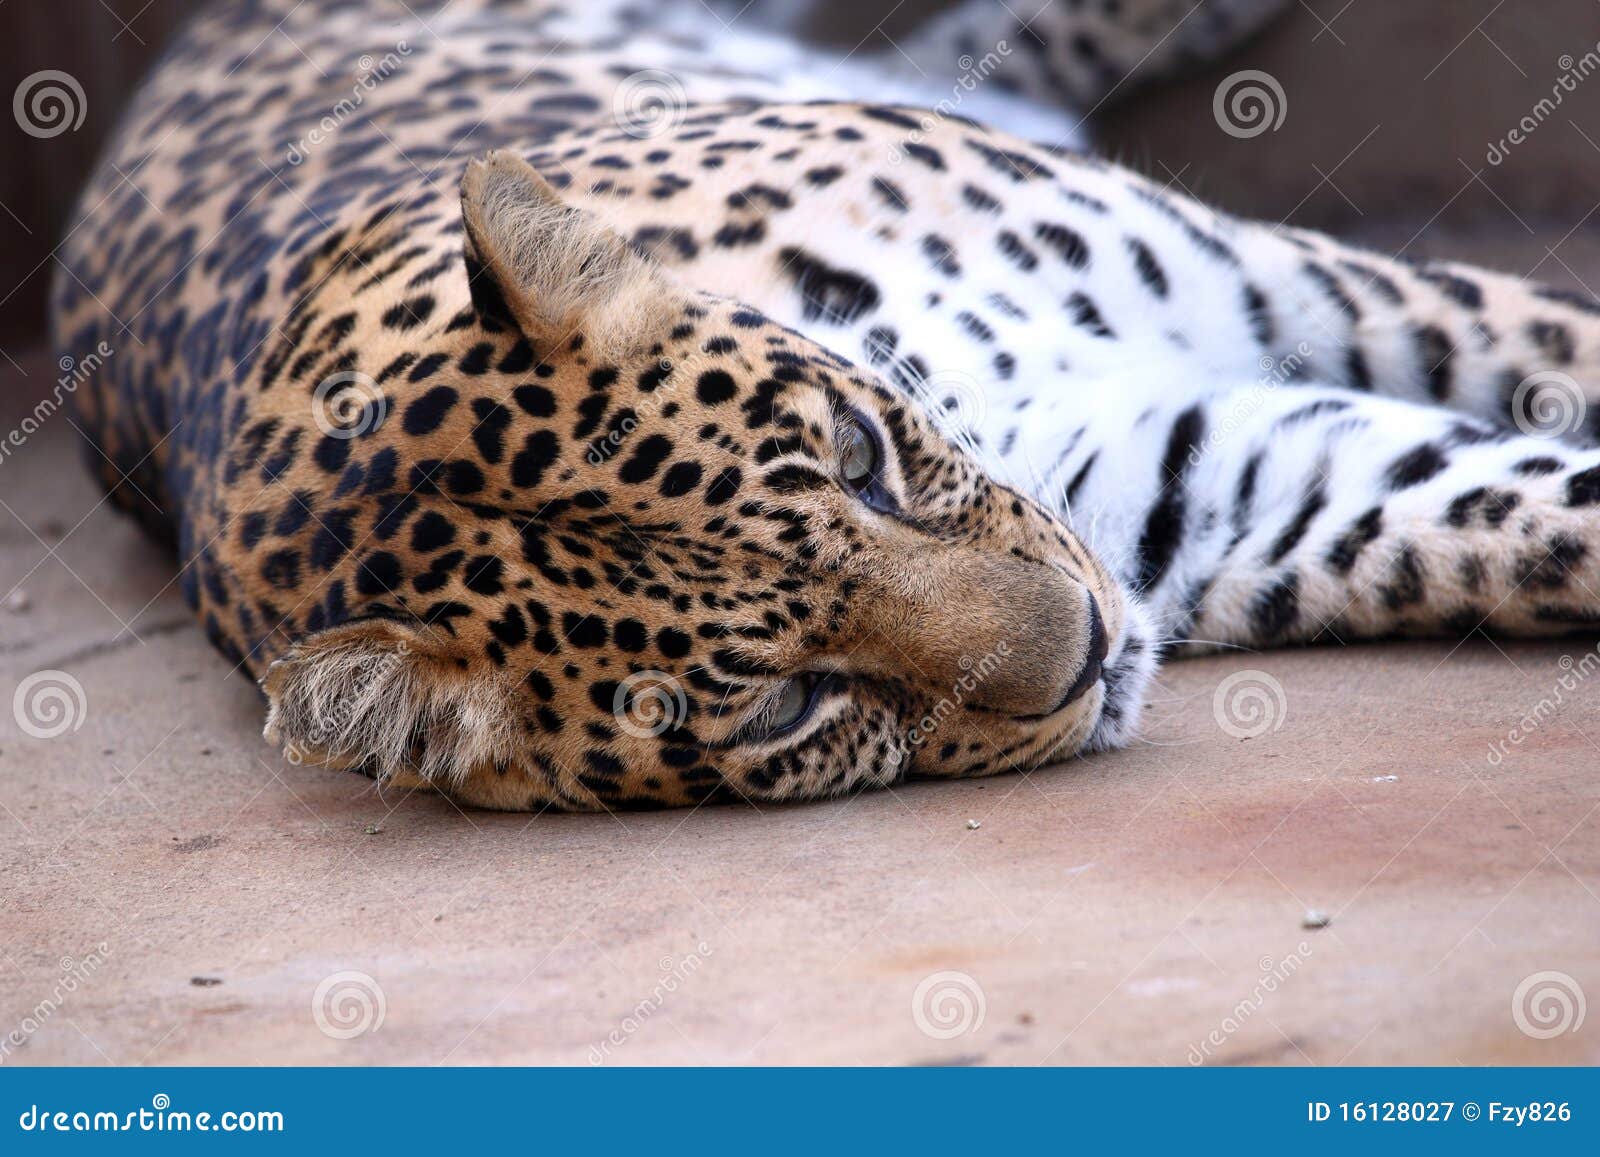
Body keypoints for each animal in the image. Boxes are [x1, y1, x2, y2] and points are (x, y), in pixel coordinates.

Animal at [49, 0, 1600, 812]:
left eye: (857, 456)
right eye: (791, 704)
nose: (1095, 648)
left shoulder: (1284, 284)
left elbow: (1540, 343)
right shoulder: (1214, 489)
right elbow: (1502, 521)